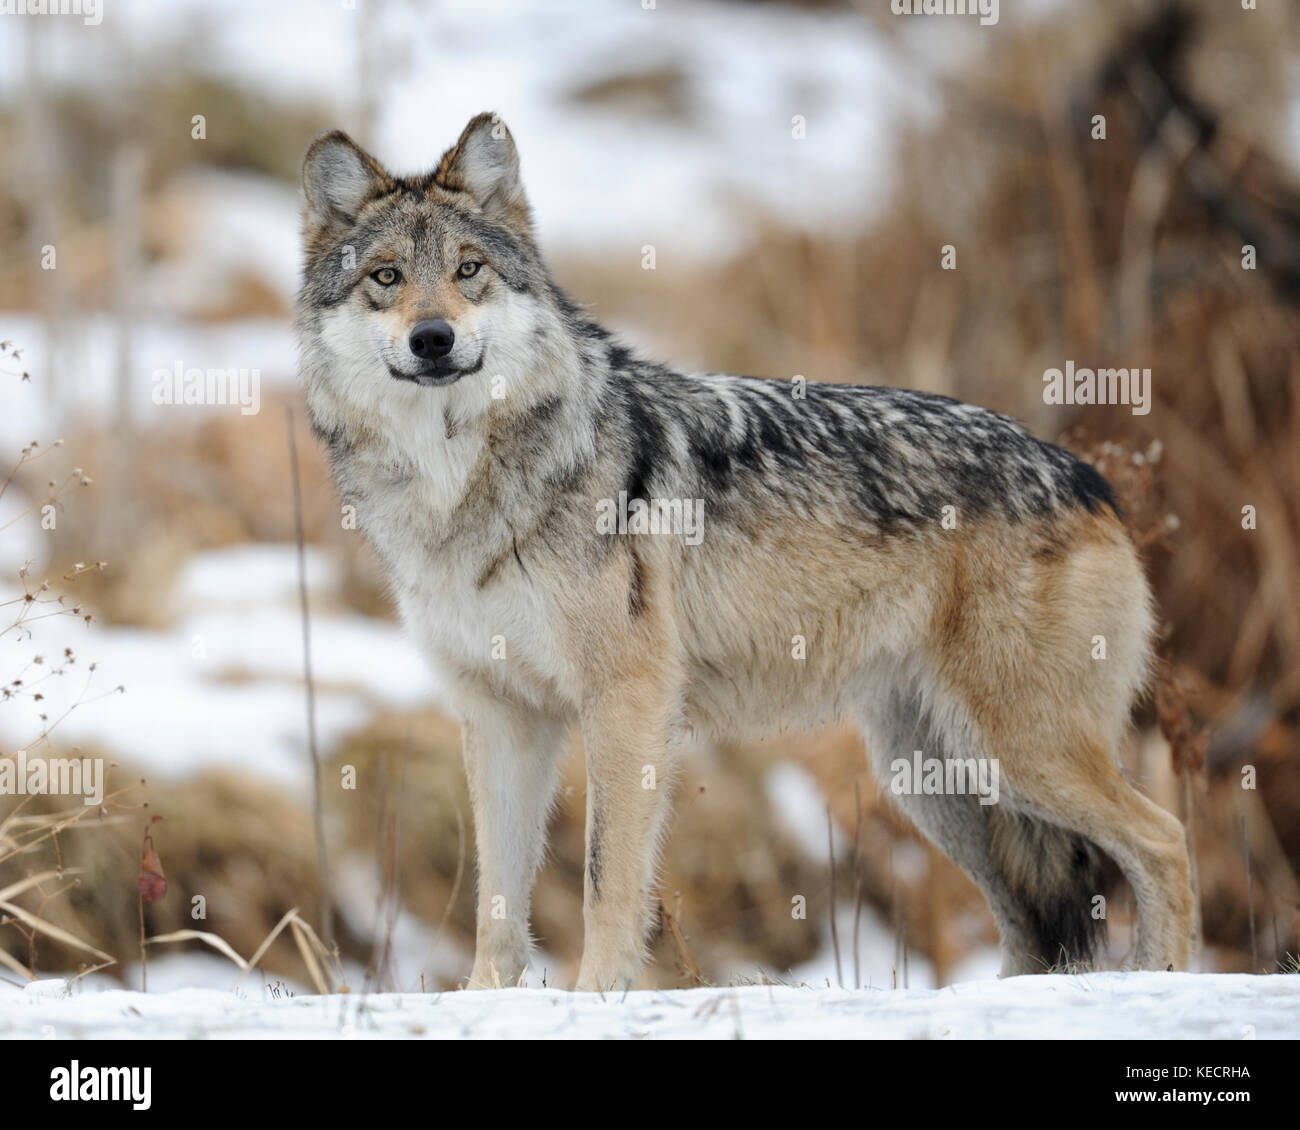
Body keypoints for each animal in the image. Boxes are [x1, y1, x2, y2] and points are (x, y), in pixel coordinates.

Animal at [297, 113, 1194, 990]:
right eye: (386, 277)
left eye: (469, 270)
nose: (434, 338)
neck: (458, 486)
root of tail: (1087, 478)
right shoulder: (498, 714)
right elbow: (496, 898)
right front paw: (489, 1001)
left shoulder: (627, 700)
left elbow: (605, 880)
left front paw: (597, 999)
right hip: (939, 778)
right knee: (1035, 929)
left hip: (1018, 753)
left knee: (1166, 841)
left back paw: (1162, 978)